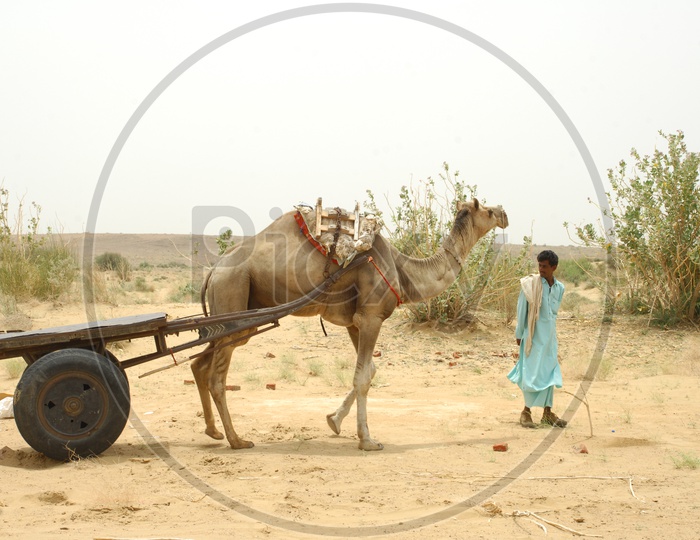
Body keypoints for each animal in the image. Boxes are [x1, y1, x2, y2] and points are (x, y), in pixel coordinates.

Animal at [192, 198, 508, 451]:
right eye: (488, 210)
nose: (505, 214)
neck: (402, 269)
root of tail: (214, 270)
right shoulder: (371, 317)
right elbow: (362, 378)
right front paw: (367, 440)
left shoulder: (355, 323)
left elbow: (369, 370)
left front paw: (334, 420)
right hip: (234, 296)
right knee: (217, 378)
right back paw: (237, 440)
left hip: (230, 315)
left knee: (199, 364)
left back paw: (213, 431)